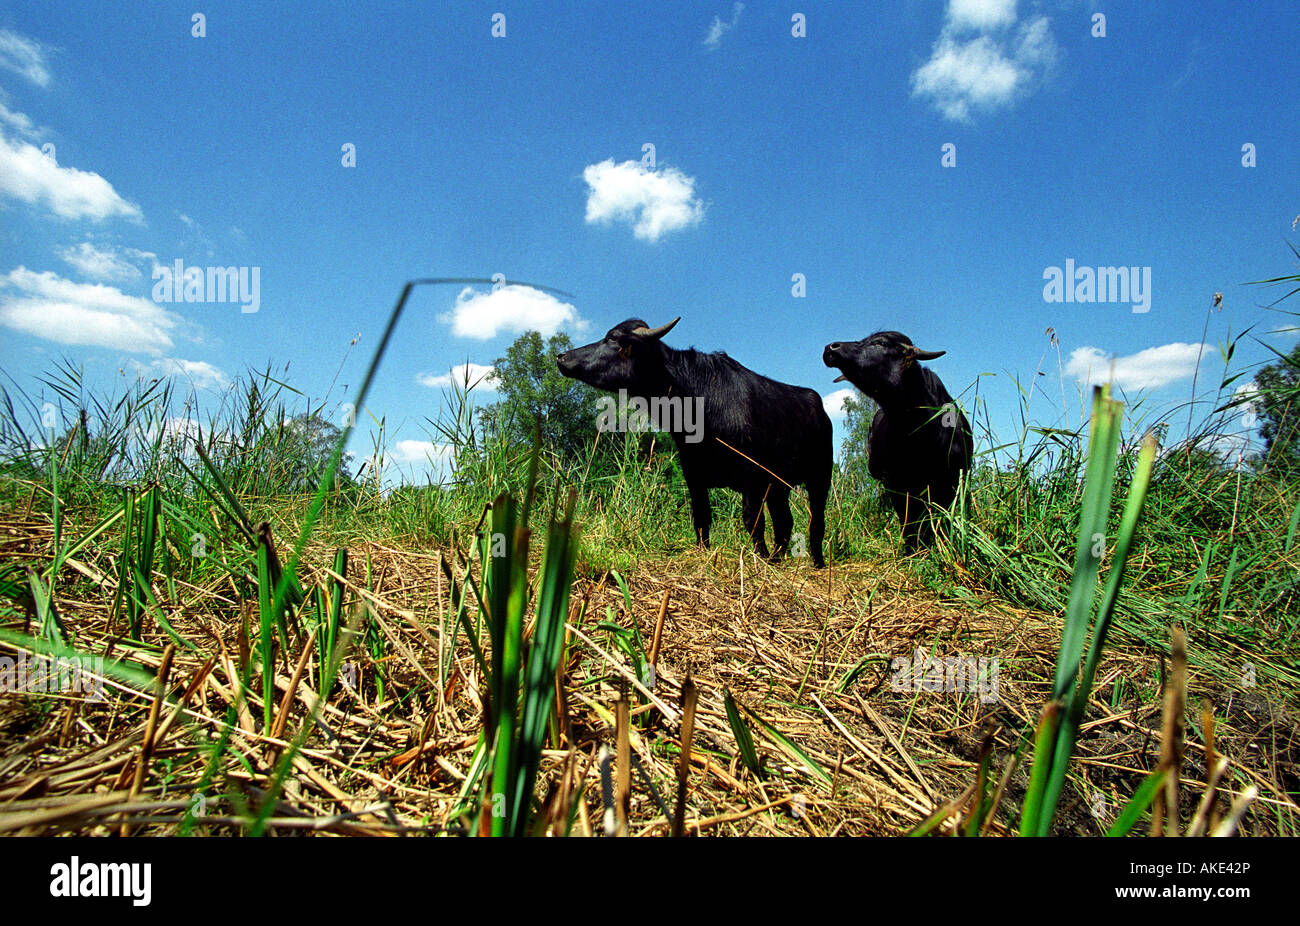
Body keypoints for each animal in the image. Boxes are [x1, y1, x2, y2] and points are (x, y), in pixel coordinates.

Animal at [558, 318, 832, 567]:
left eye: (612, 338)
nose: (562, 357)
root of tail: (819, 410)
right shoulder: (694, 474)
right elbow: (701, 517)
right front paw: (704, 552)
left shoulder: (752, 476)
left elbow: (752, 519)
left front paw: (759, 557)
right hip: (778, 487)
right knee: (785, 522)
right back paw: (777, 558)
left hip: (819, 478)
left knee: (816, 522)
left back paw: (816, 563)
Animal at [823, 331, 972, 550]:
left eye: (880, 343)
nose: (831, 347)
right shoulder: (897, 485)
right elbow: (908, 520)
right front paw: (912, 548)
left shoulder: (953, 480)